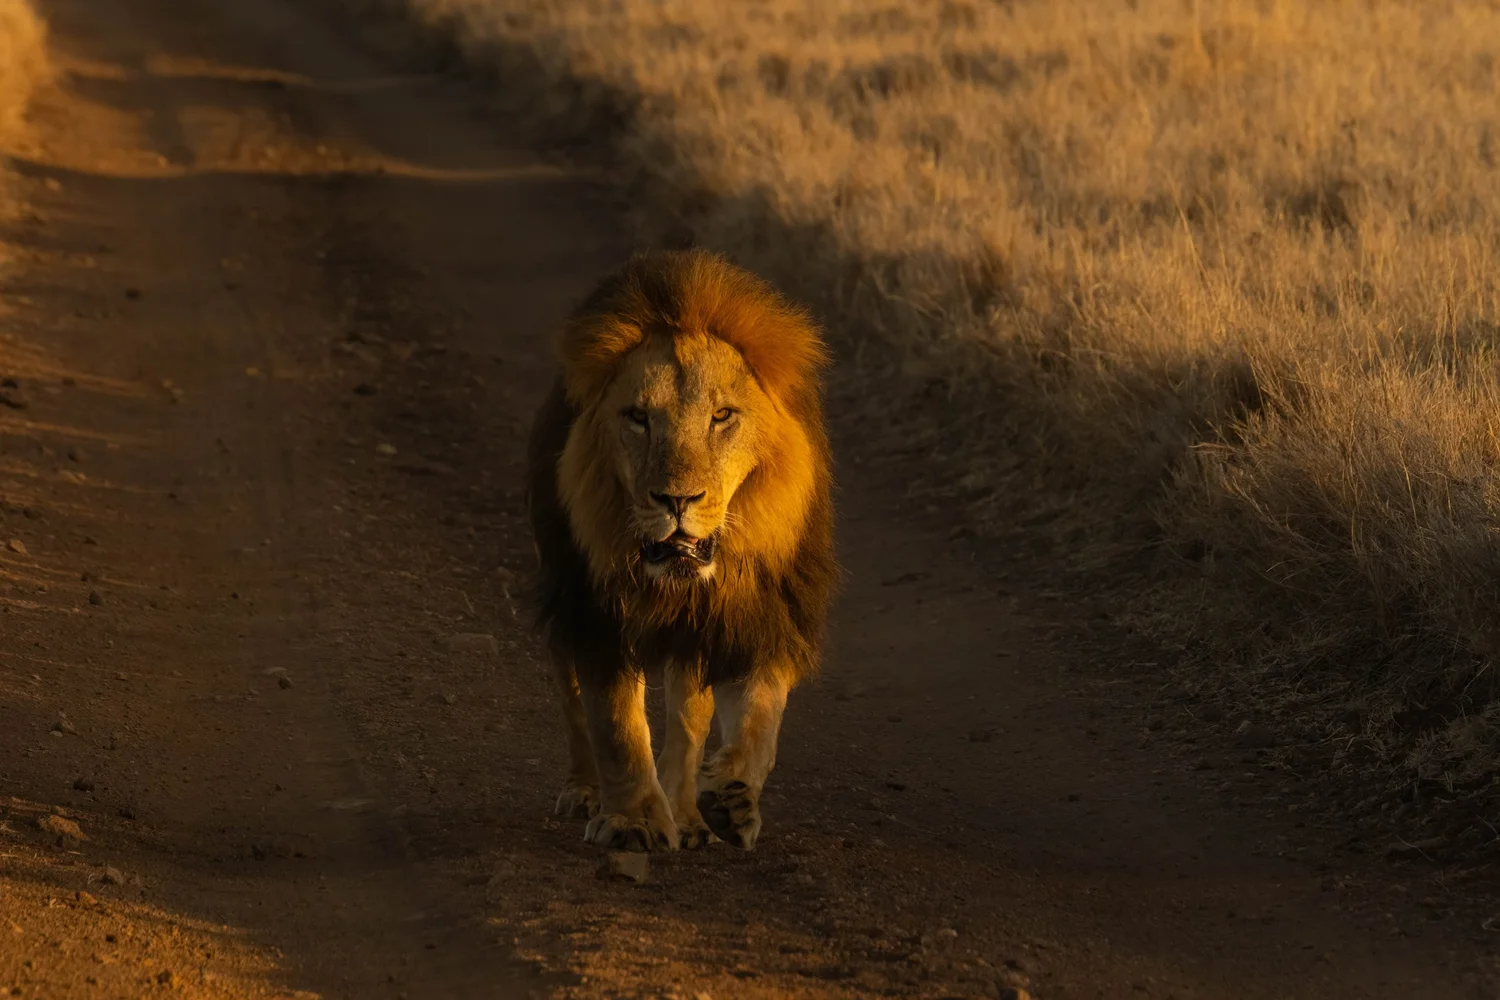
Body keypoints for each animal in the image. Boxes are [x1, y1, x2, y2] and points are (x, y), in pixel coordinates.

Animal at [525, 248, 838, 852]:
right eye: (637, 417)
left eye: (722, 416)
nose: (677, 500)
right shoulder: (596, 615)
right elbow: (616, 725)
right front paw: (633, 823)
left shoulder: (763, 615)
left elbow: (759, 716)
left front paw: (732, 798)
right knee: (573, 698)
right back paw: (587, 792)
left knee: (691, 716)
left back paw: (690, 815)